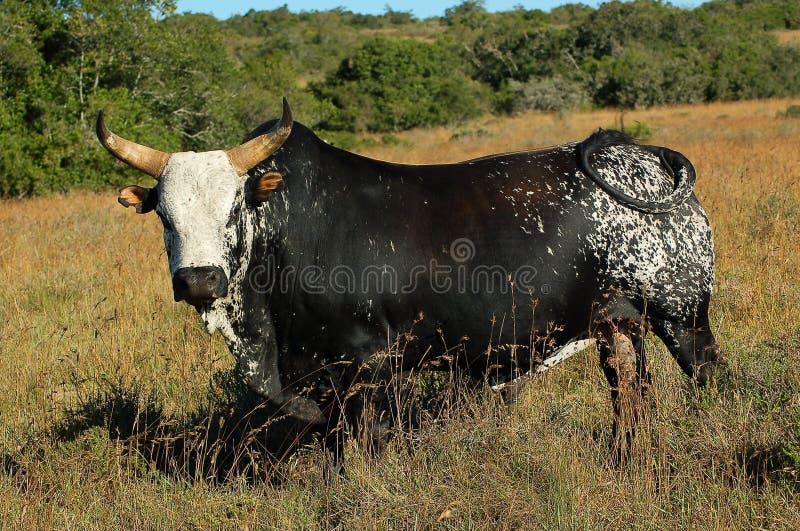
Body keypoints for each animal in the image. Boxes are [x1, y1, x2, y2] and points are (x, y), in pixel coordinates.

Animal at [96, 98, 723, 460]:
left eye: (233, 209)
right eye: (162, 214)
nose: (199, 280)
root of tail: (646, 156)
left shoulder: (366, 363)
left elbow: (363, 445)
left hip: (684, 317)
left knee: (706, 375)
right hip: (619, 324)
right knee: (630, 392)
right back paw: (625, 455)